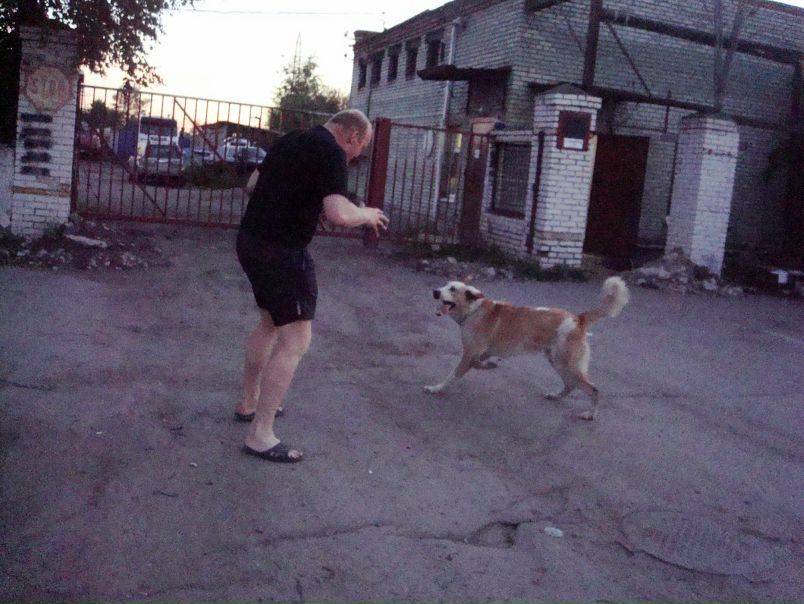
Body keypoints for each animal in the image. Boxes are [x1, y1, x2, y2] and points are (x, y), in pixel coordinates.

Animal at [425, 277, 629, 420]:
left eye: (452, 289)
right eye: (444, 285)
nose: (434, 291)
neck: (473, 310)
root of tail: (578, 319)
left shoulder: (469, 354)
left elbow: (453, 375)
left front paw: (436, 388)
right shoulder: (479, 353)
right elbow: (480, 363)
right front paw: (490, 365)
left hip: (568, 364)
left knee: (593, 389)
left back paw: (590, 415)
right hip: (557, 362)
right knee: (570, 385)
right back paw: (556, 396)